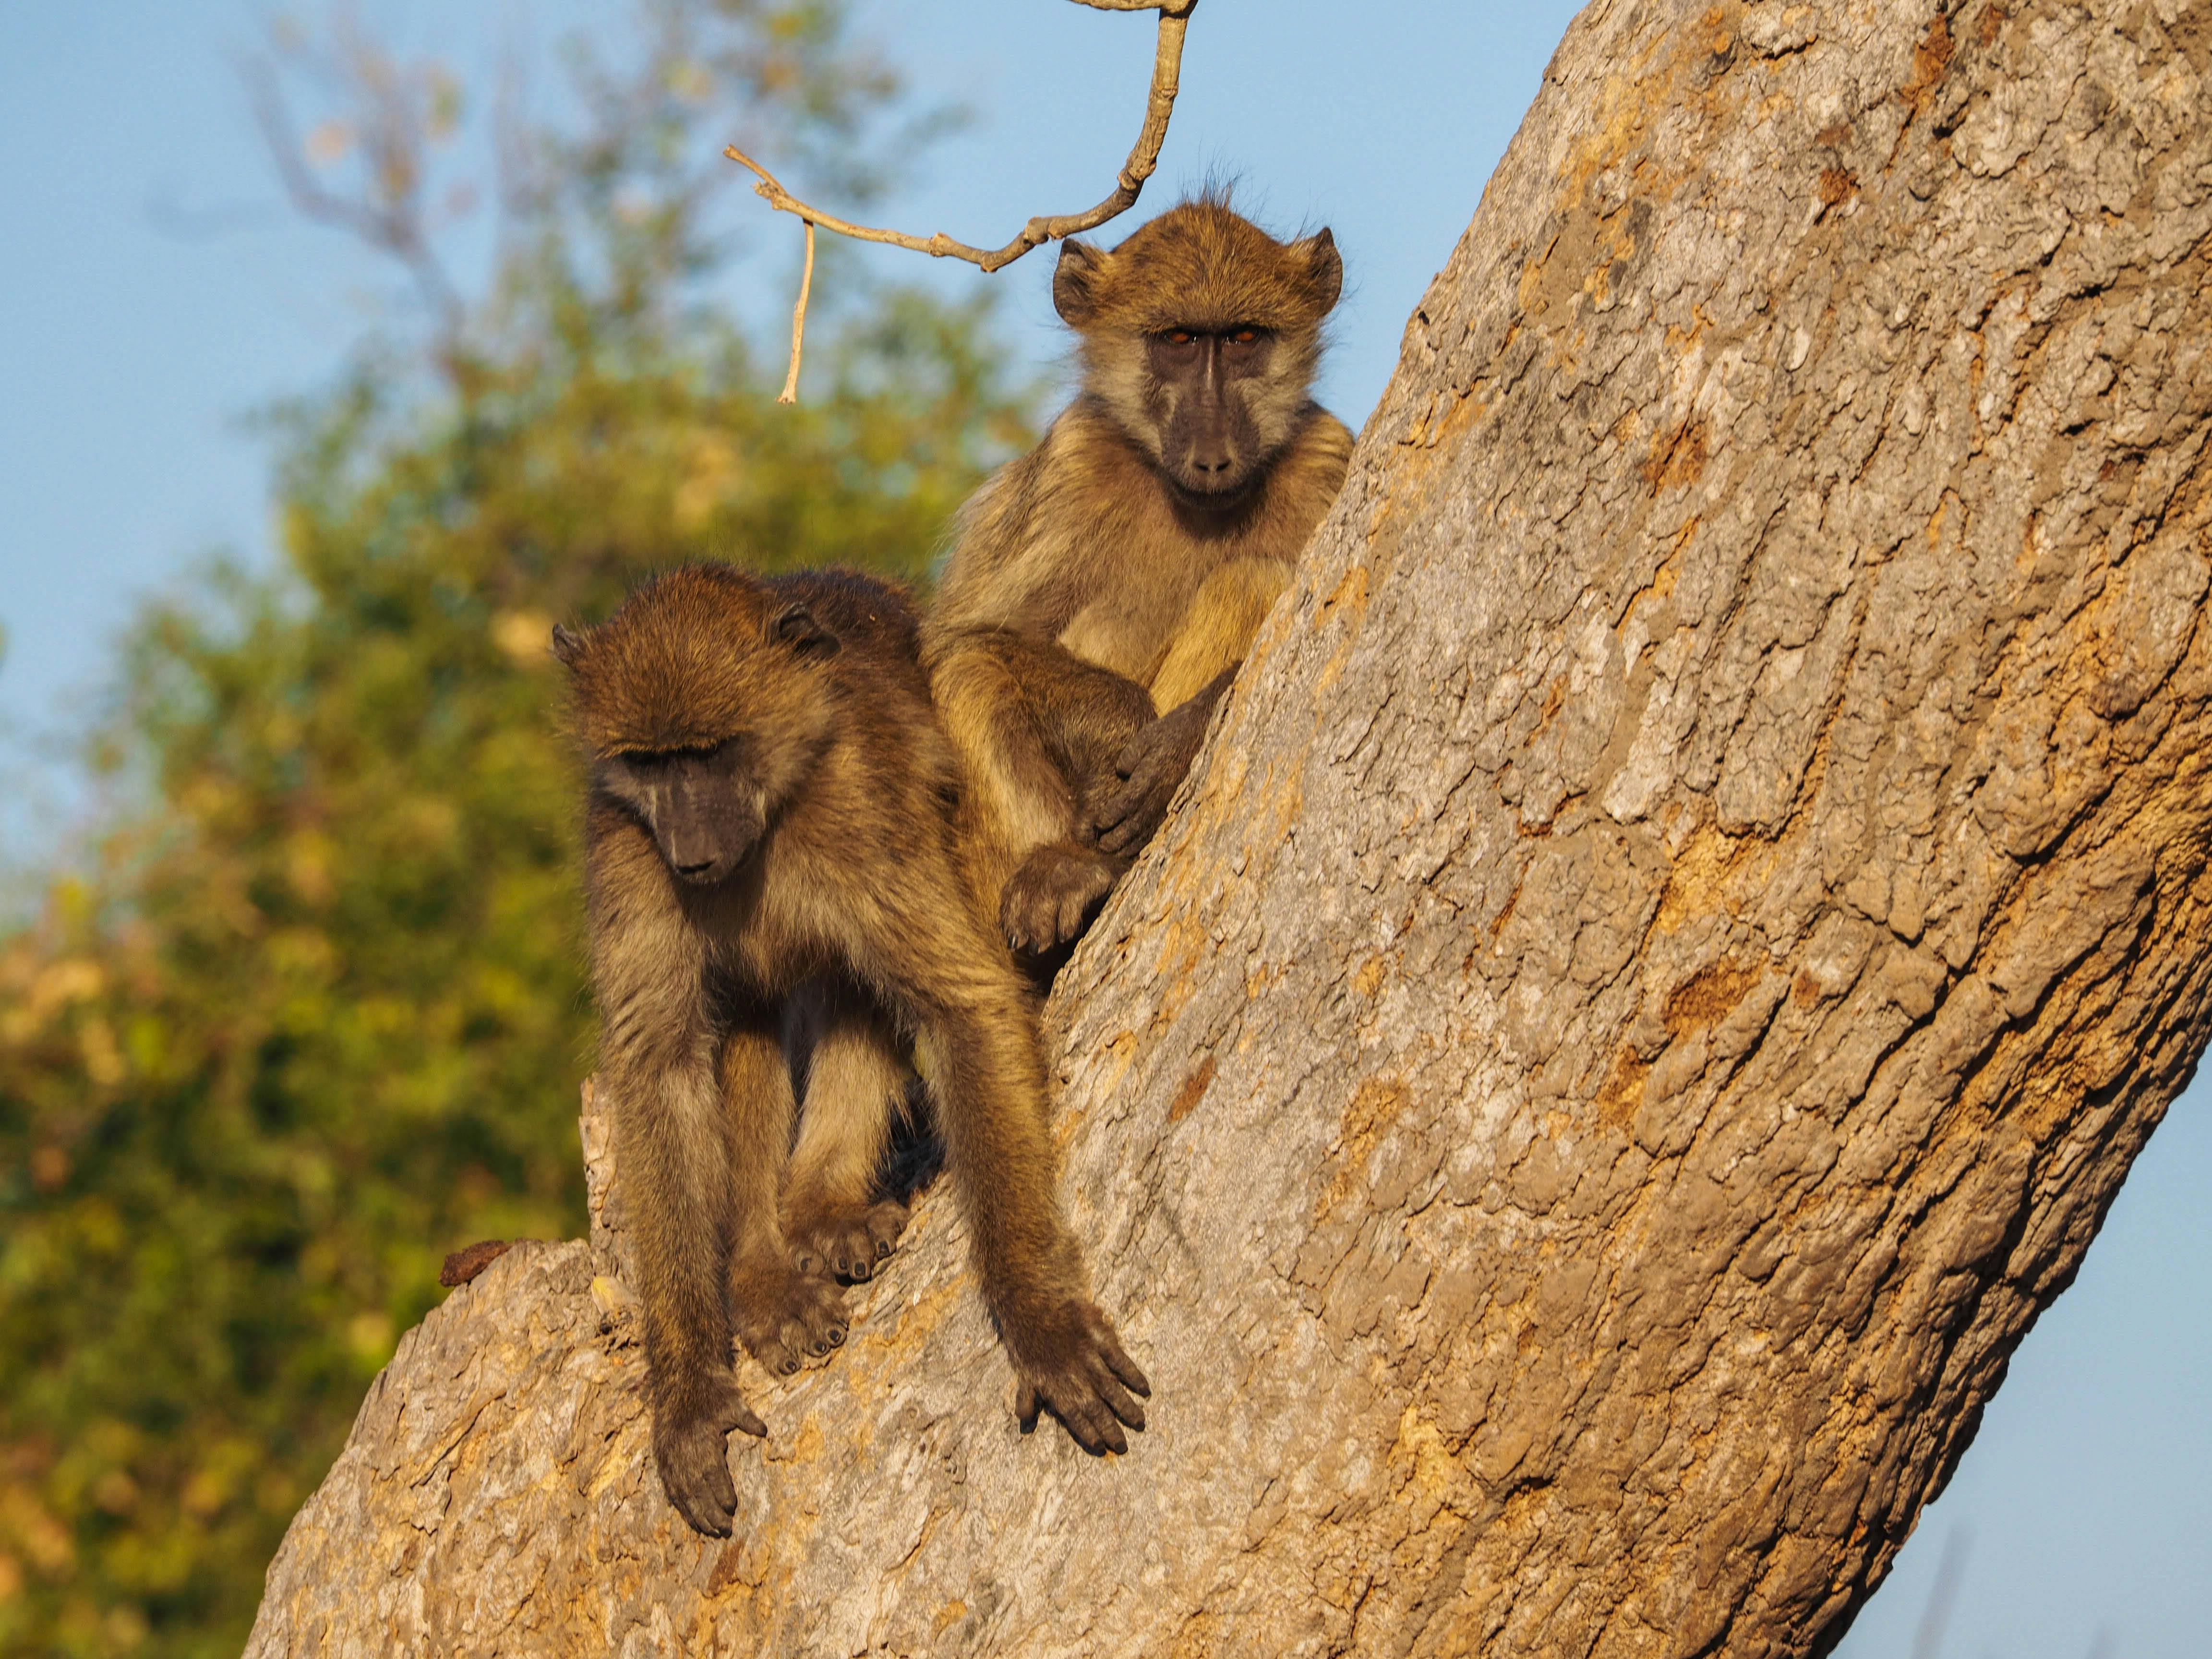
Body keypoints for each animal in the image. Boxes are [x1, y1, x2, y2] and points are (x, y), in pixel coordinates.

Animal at [555, 565, 1149, 1538]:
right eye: (651, 763)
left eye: (710, 753)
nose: (692, 852)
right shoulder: (625, 848)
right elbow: (661, 1071)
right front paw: (687, 1394)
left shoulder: (861, 811)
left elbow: (961, 1002)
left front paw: (1038, 1319)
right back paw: (779, 1256)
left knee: (966, 672)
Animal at [923, 196, 1354, 954]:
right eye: (1177, 340)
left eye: (1243, 338)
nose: (1212, 456)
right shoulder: (1073, 463)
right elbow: (959, 638)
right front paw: (1123, 732)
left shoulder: (1329, 460)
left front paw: (1170, 750)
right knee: (971, 670)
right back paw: (1075, 867)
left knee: (1250, 579)